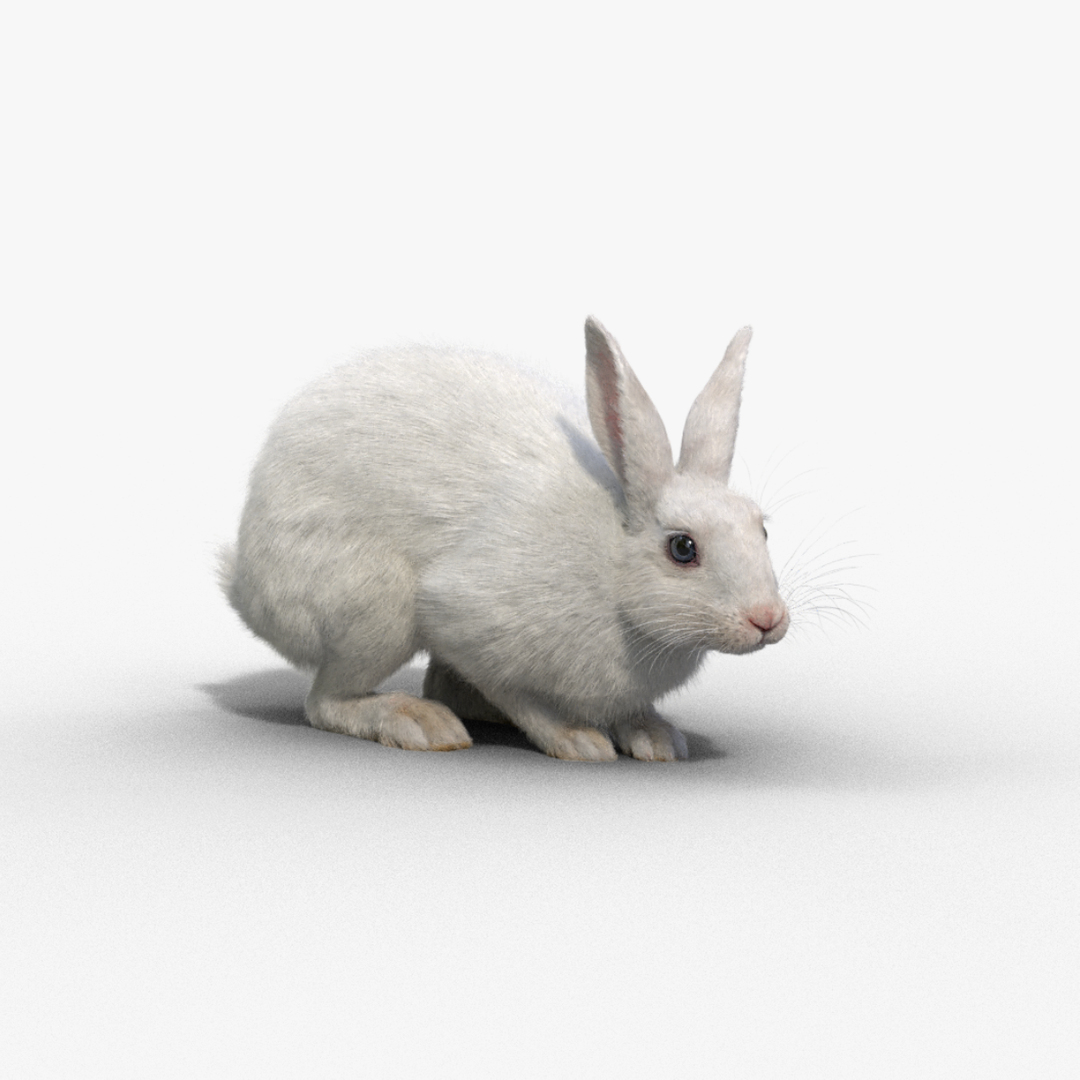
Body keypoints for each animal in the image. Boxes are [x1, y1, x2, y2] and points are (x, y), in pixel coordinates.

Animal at [221, 317, 789, 762]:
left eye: (761, 528)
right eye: (682, 548)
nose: (767, 620)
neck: (614, 577)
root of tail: (244, 584)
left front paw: (656, 737)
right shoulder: (463, 620)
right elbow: (522, 699)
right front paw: (577, 739)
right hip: (373, 612)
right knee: (326, 701)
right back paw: (420, 722)